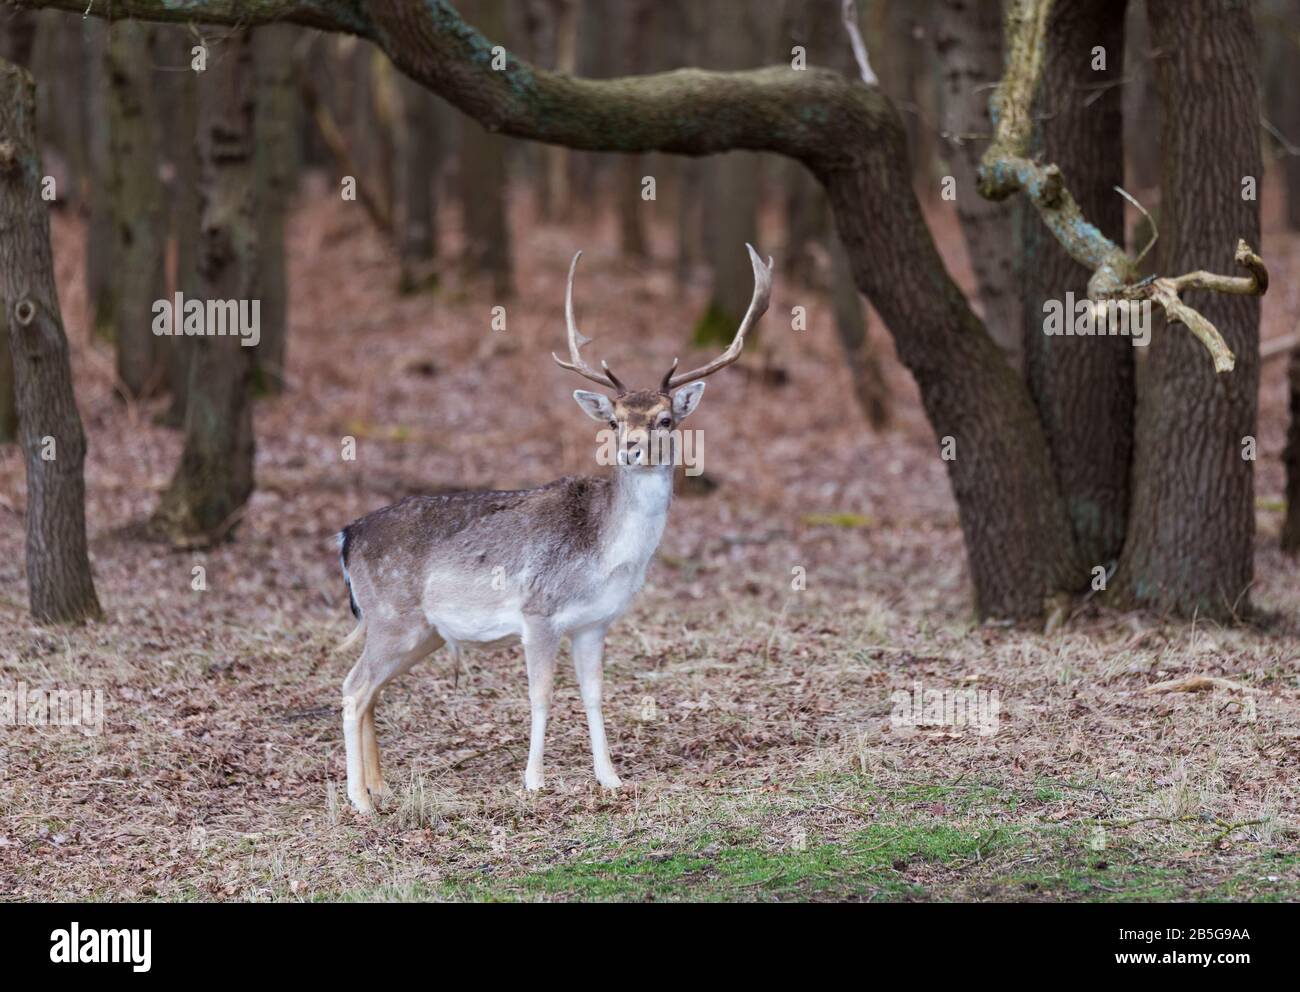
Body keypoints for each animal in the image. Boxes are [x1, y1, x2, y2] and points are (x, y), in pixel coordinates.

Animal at [334, 245, 773, 813]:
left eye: (664, 420)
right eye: (613, 421)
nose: (630, 448)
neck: (606, 556)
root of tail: (347, 537)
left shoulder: (594, 623)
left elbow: (594, 694)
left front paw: (610, 777)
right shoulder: (538, 611)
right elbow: (541, 695)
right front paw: (534, 780)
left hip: (419, 631)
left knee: (372, 691)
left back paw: (380, 788)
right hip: (391, 617)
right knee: (352, 689)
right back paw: (360, 801)